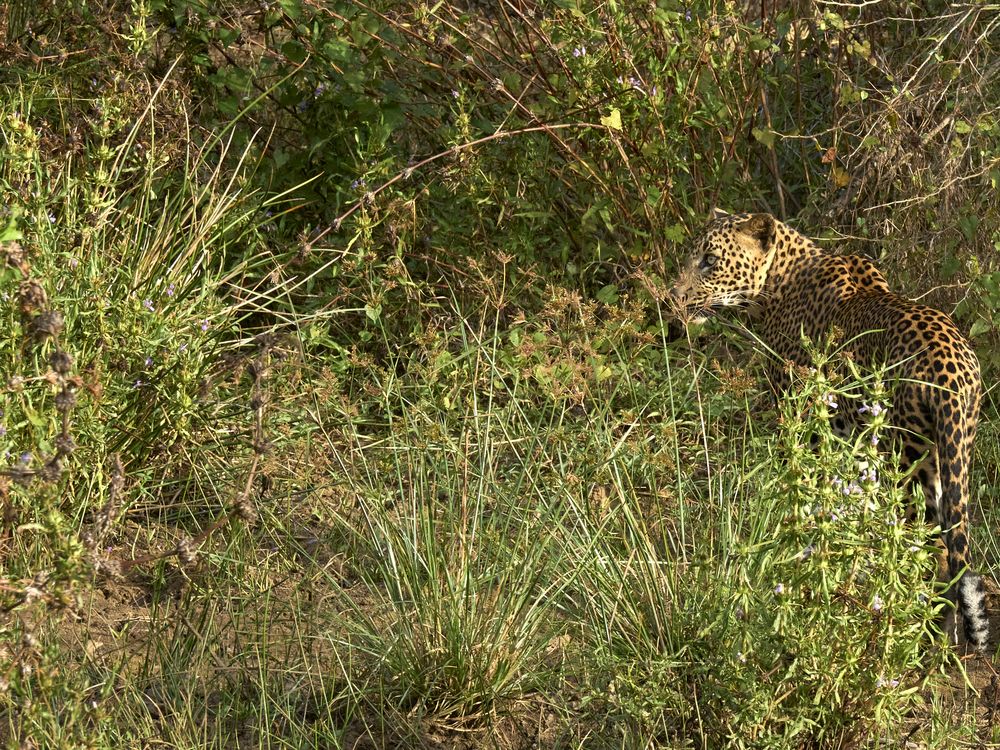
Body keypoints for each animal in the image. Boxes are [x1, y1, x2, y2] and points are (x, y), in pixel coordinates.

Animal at [668, 209, 990, 652]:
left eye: (710, 261)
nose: (674, 294)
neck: (777, 284)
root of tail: (952, 369)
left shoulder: (803, 421)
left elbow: (804, 489)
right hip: (953, 452)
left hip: (909, 466)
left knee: (930, 550)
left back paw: (914, 629)